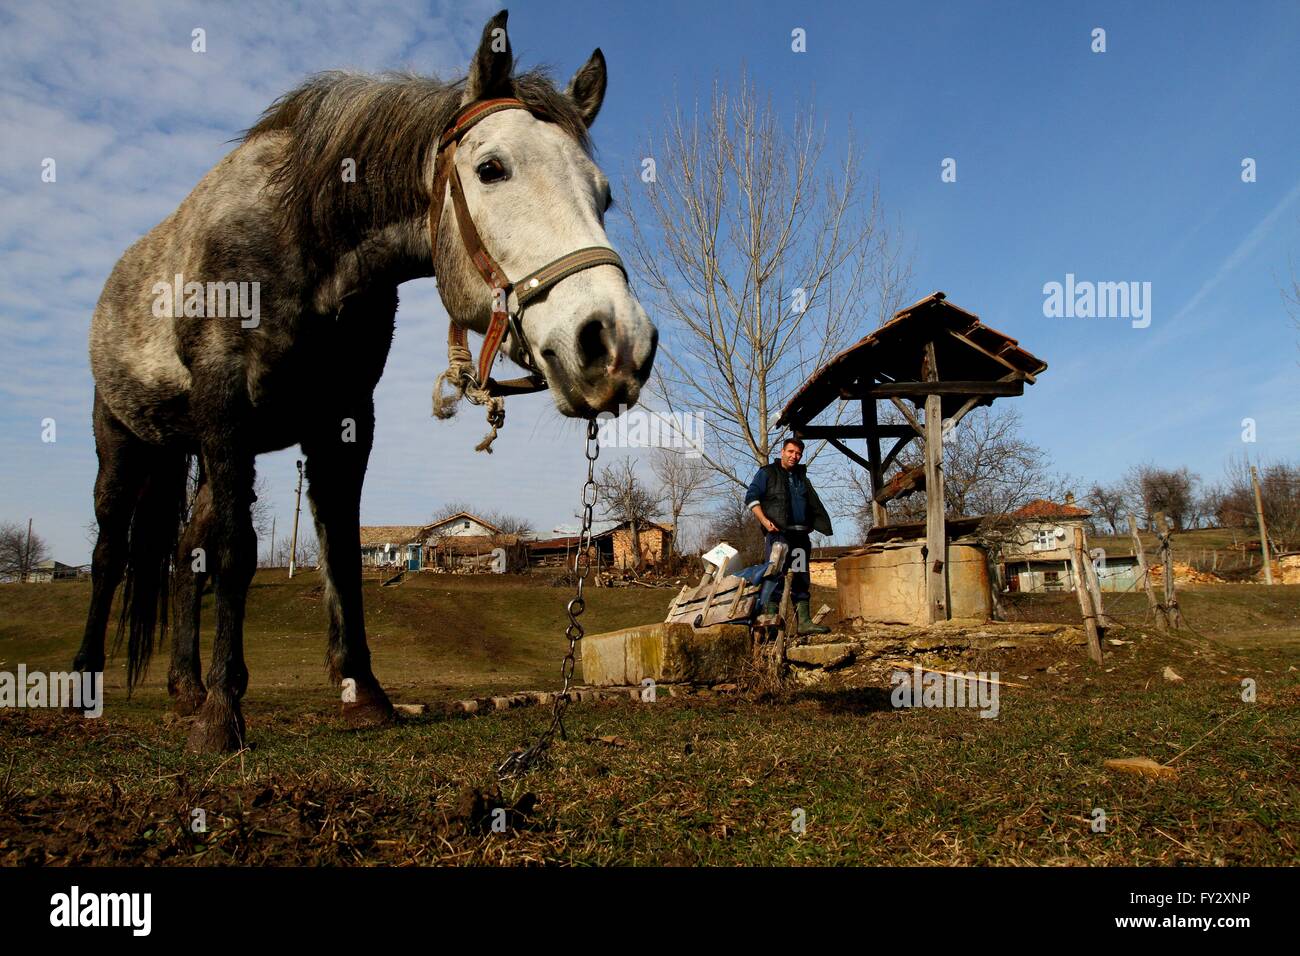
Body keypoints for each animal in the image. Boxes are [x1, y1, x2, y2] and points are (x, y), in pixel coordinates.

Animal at [71, 9, 658, 753]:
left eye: (604, 194)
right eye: (492, 169)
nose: (616, 342)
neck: (300, 239)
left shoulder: (343, 420)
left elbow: (342, 557)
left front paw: (361, 693)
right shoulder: (225, 404)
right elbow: (238, 552)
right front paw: (224, 716)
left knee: (182, 557)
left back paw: (185, 689)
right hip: (124, 445)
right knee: (109, 553)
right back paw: (87, 685)